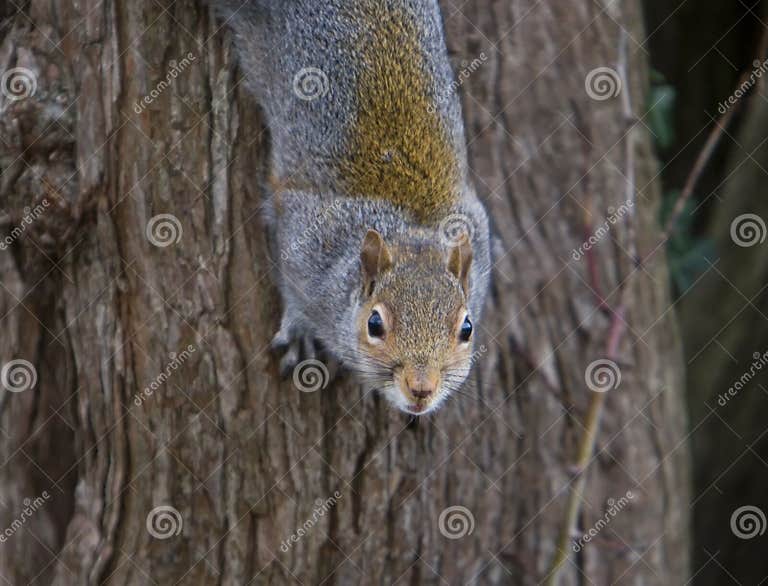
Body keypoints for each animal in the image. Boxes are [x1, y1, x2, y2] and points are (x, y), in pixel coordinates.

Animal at [211, 0, 491, 415]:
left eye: (466, 329)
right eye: (375, 324)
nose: (421, 388)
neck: (410, 230)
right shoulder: (306, 238)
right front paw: (299, 327)